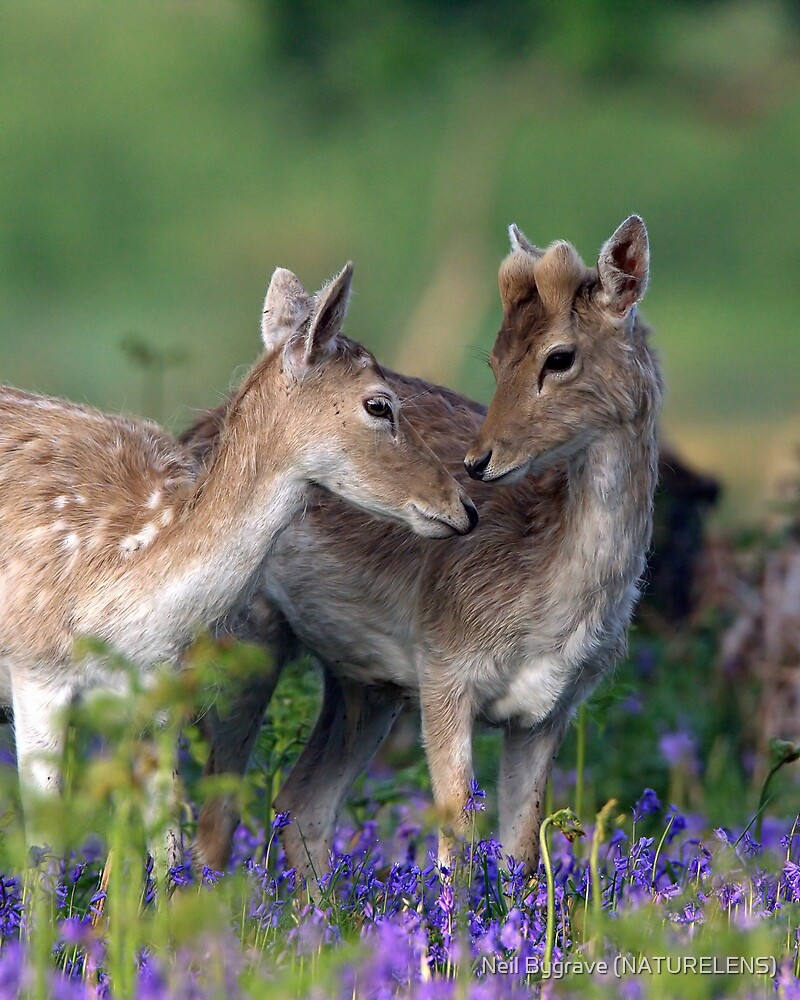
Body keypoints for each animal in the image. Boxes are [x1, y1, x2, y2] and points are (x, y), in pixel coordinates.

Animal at [0, 262, 478, 863]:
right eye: (379, 404)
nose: (464, 508)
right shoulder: (35, 671)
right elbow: (44, 853)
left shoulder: (159, 693)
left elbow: (166, 843)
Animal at [190, 215, 662, 877]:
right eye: (495, 359)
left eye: (560, 356)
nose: (480, 461)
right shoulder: (444, 671)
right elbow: (455, 839)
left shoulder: (552, 709)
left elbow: (521, 851)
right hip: (243, 643)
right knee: (214, 813)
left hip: (365, 684)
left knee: (301, 804)